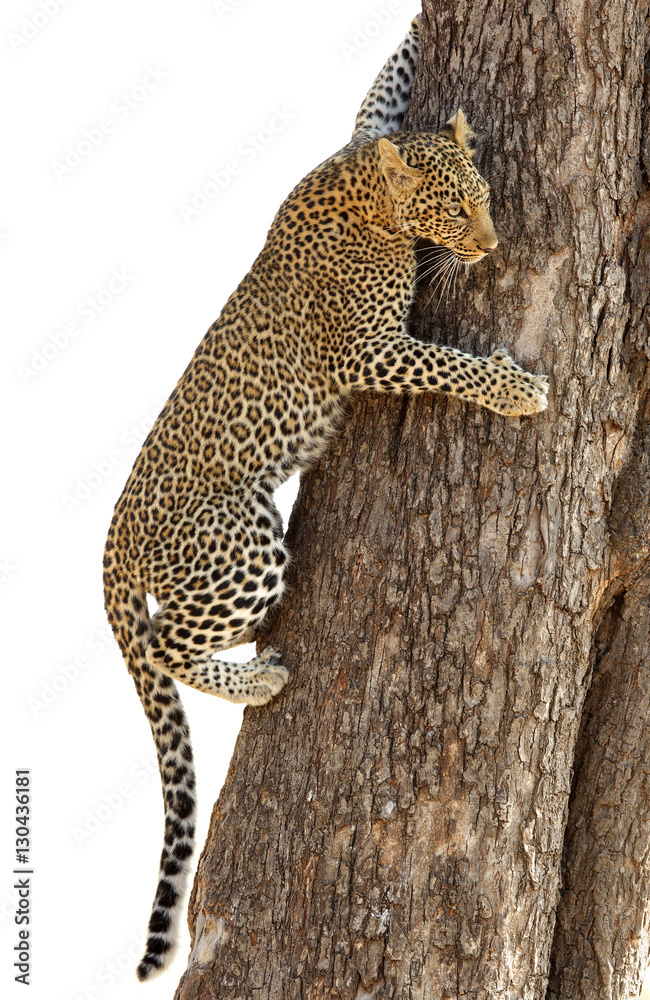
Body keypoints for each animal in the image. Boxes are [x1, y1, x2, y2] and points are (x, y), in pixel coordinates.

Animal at [103, 14, 548, 982]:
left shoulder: (364, 129)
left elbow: (382, 91)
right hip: (241, 541)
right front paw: (516, 389)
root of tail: (110, 545)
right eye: (459, 210)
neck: (363, 193)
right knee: (164, 643)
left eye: (483, 195)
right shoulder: (370, 351)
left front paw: (412, 29)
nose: (495, 246)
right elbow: (447, 366)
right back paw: (259, 679)